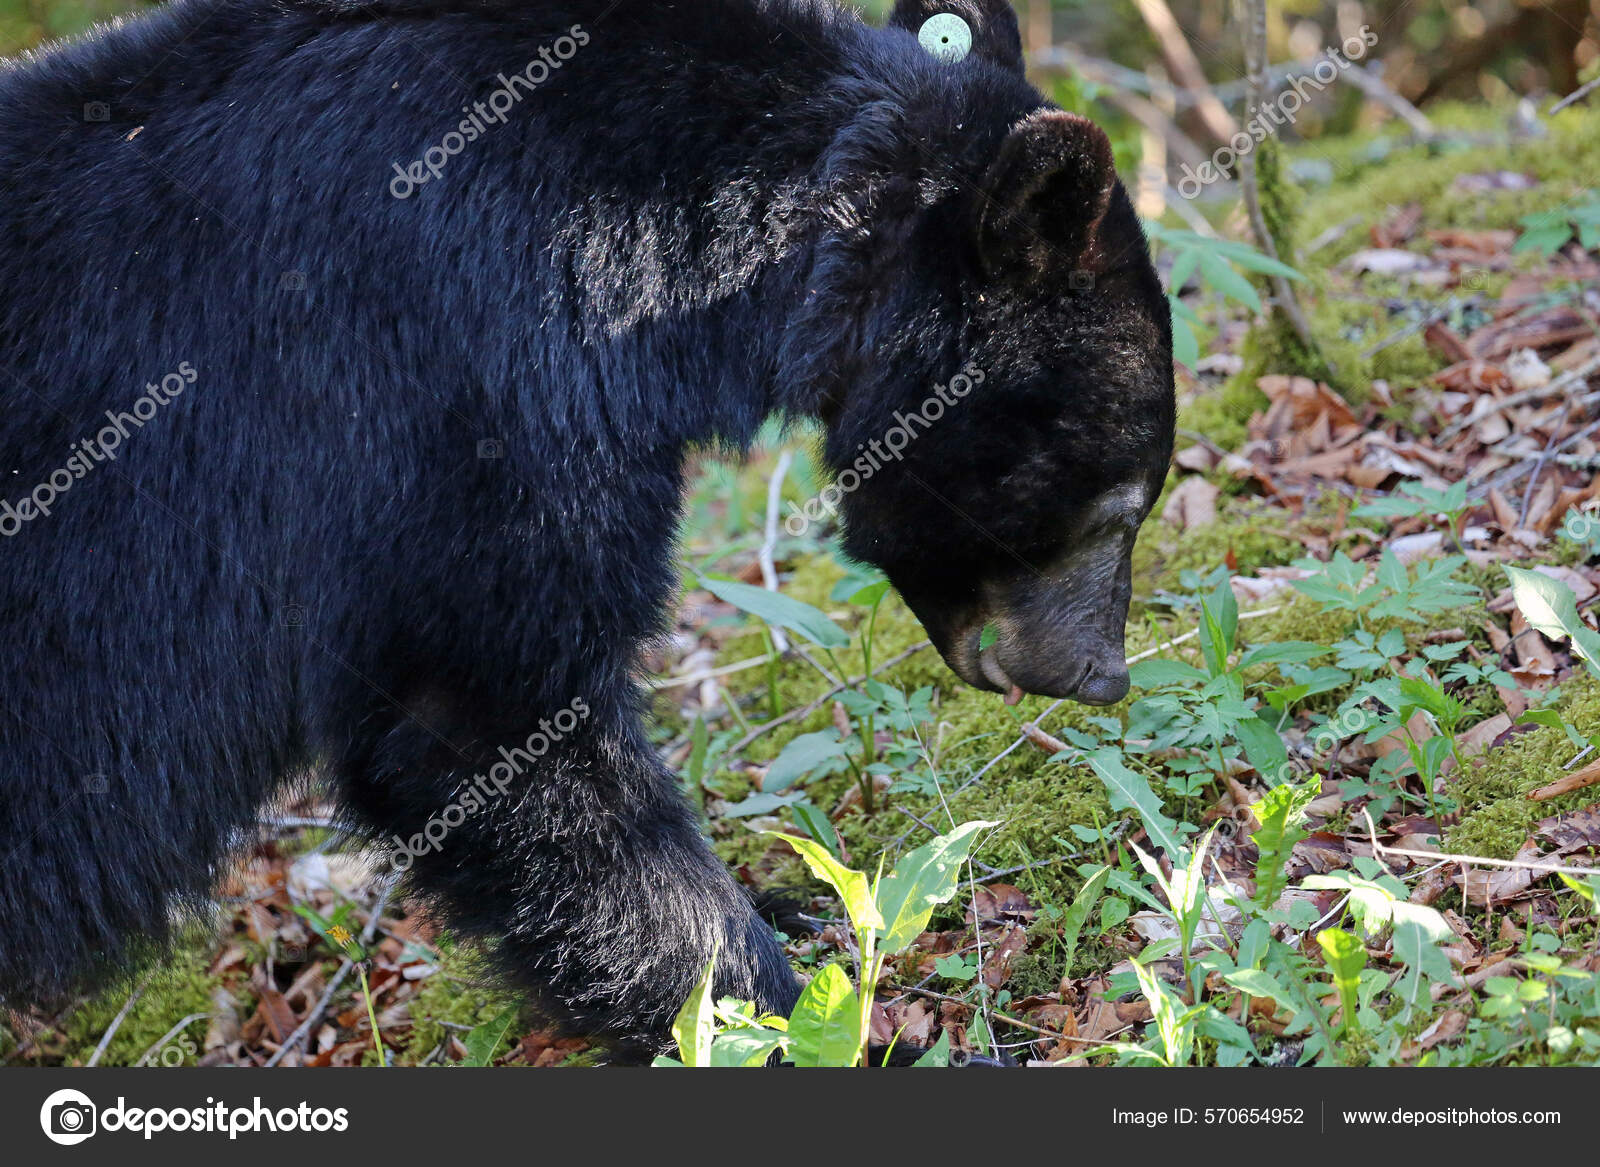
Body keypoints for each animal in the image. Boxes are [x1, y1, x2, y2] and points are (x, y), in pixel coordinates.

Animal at [0, 0, 1173, 1058]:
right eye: (1122, 502)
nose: (1103, 673)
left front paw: (793, 908)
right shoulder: (453, 382)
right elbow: (489, 711)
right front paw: (782, 1015)